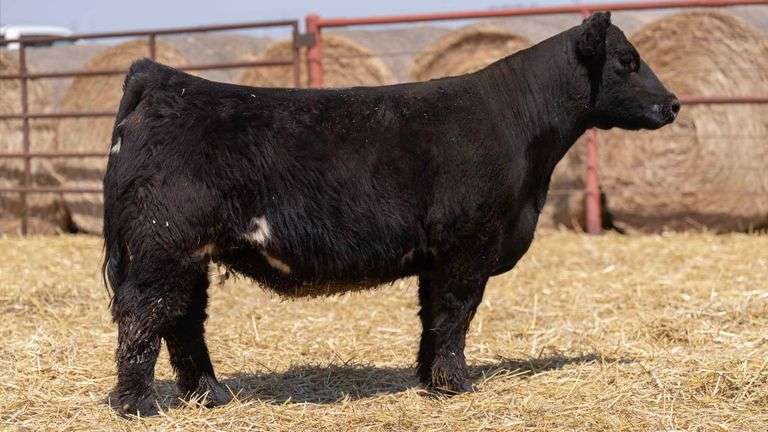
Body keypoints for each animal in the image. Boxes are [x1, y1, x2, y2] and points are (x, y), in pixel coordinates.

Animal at [102, 12, 678, 416]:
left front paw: (430, 381)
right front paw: (457, 385)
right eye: (627, 60)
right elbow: (455, 314)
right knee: (143, 314)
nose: (672, 103)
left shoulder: (438, 256)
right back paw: (137, 404)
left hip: (189, 255)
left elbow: (432, 318)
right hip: (162, 247)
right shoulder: (467, 247)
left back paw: (210, 394)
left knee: (183, 319)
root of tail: (161, 79)